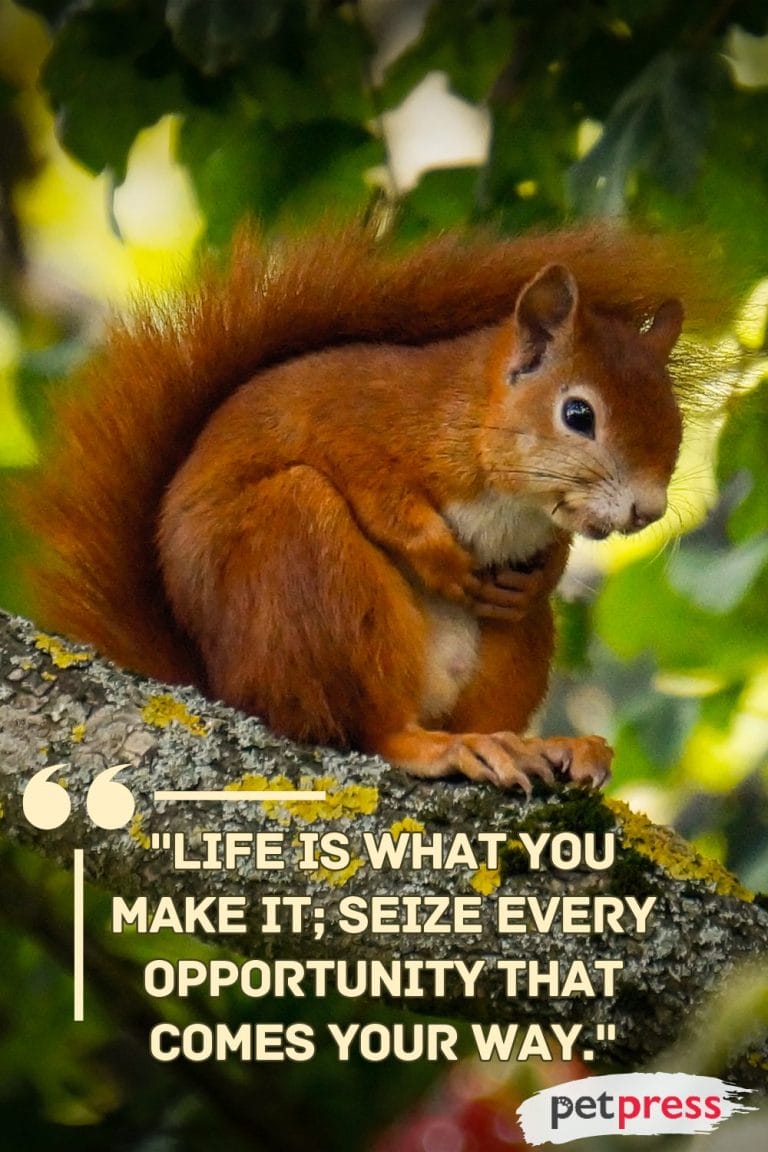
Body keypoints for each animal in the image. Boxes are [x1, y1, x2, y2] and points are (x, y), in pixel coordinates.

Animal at [15, 222, 721, 791]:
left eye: (674, 420)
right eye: (578, 415)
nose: (647, 510)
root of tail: (223, 683)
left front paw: (541, 573)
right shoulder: (346, 419)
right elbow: (379, 493)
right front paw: (439, 557)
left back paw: (538, 743)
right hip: (302, 562)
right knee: (367, 729)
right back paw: (444, 747)